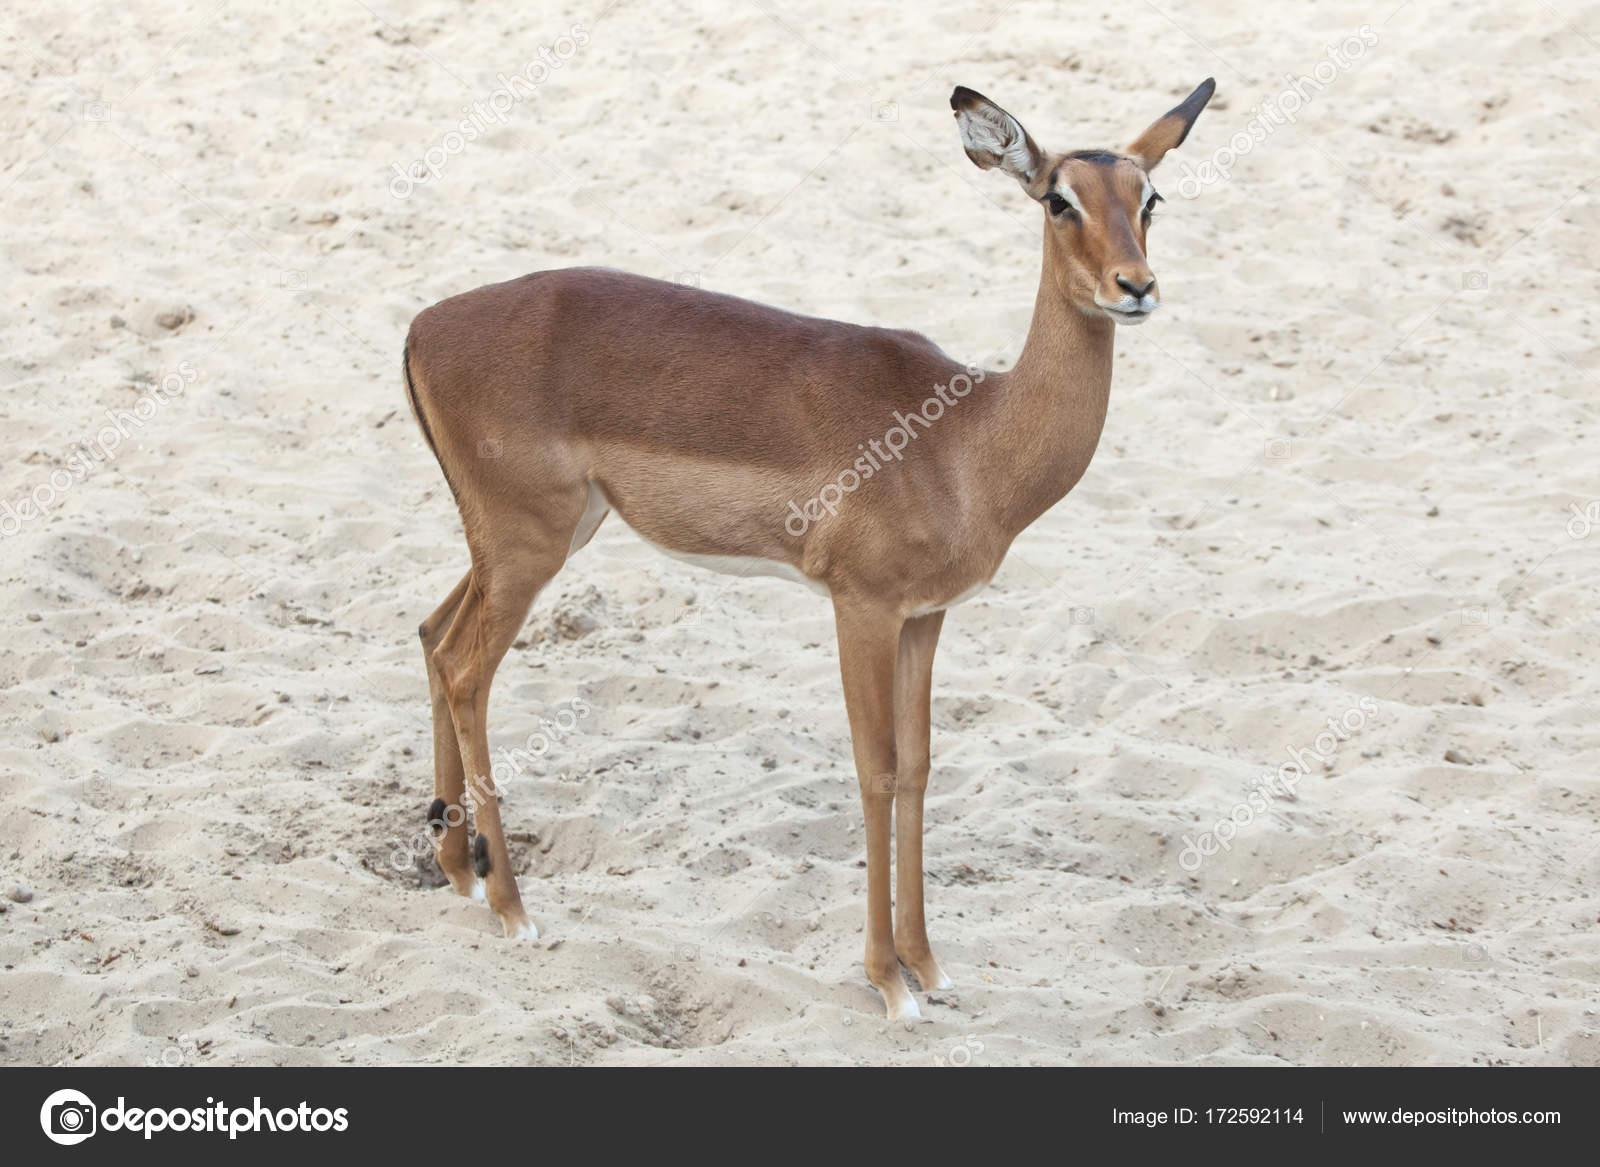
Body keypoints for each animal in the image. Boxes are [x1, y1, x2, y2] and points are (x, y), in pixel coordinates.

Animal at [404, 79, 1215, 1019]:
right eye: (1059, 199)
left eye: (1149, 198)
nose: (1136, 287)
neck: (966, 441)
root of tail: (422, 327)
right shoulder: (861, 606)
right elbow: (874, 770)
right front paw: (888, 983)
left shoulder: (925, 617)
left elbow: (919, 769)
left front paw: (928, 965)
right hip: (528, 545)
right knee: (466, 669)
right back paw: (513, 907)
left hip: (533, 539)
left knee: (432, 634)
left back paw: (458, 870)